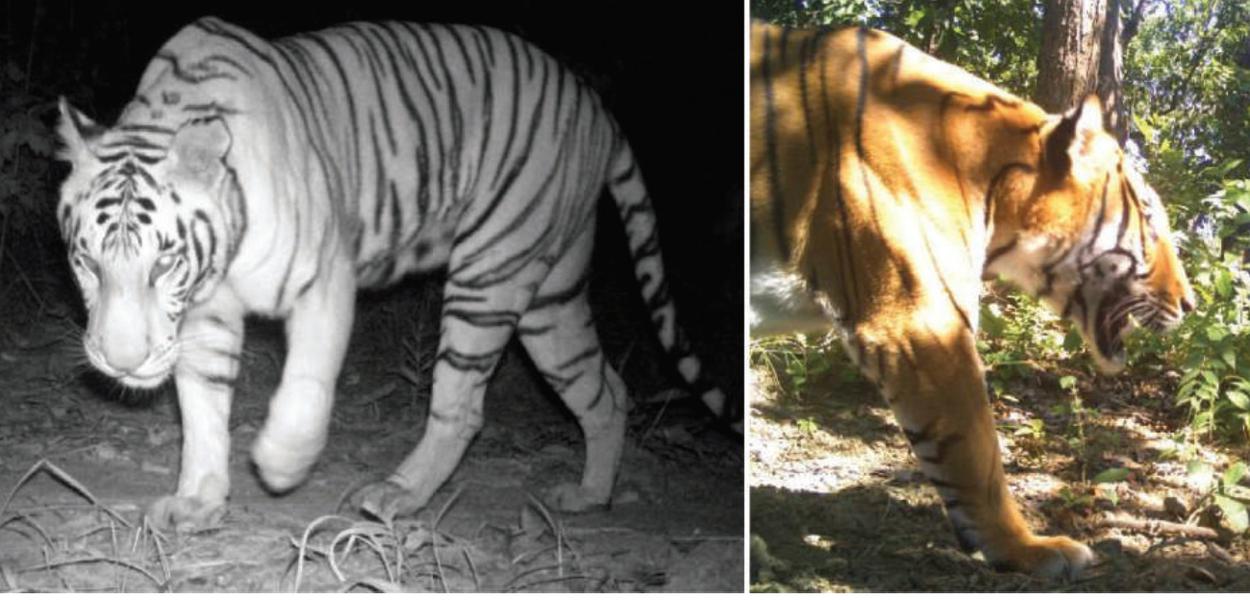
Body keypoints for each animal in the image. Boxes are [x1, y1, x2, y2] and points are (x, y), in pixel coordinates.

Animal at [55, 16, 732, 529]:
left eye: (164, 262)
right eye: (87, 261)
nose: (121, 362)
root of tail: (595, 105)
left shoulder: (323, 281)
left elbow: (305, 387)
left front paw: (280, 463)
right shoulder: (204, 311)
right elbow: (201, 408)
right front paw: (197, 500)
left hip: (489, 272)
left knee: (463, 404)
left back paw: (398, 494)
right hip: (551, 298)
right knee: (605, 390)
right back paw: (590, 495)